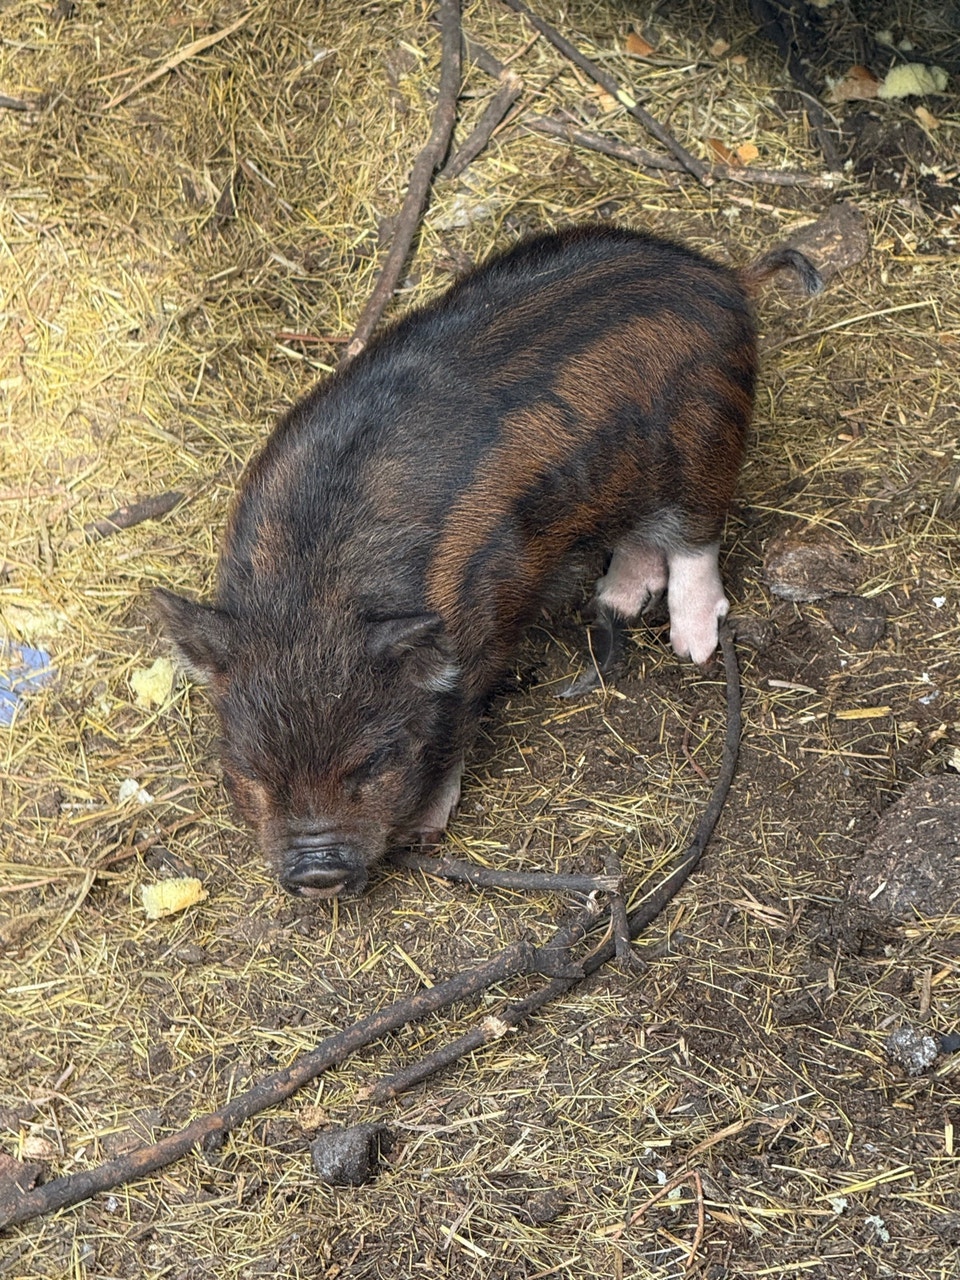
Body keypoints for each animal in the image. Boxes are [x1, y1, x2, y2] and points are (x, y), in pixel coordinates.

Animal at [155, 224, 821, 898]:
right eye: (252, 771)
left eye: (370, 762)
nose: (318, 873)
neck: (319, 588)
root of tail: (727, 277)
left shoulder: (482, 624)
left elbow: (456, 724)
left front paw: (426, 828)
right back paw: (618, 598)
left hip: (708, 432)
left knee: (697, 536)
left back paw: (694, 647)